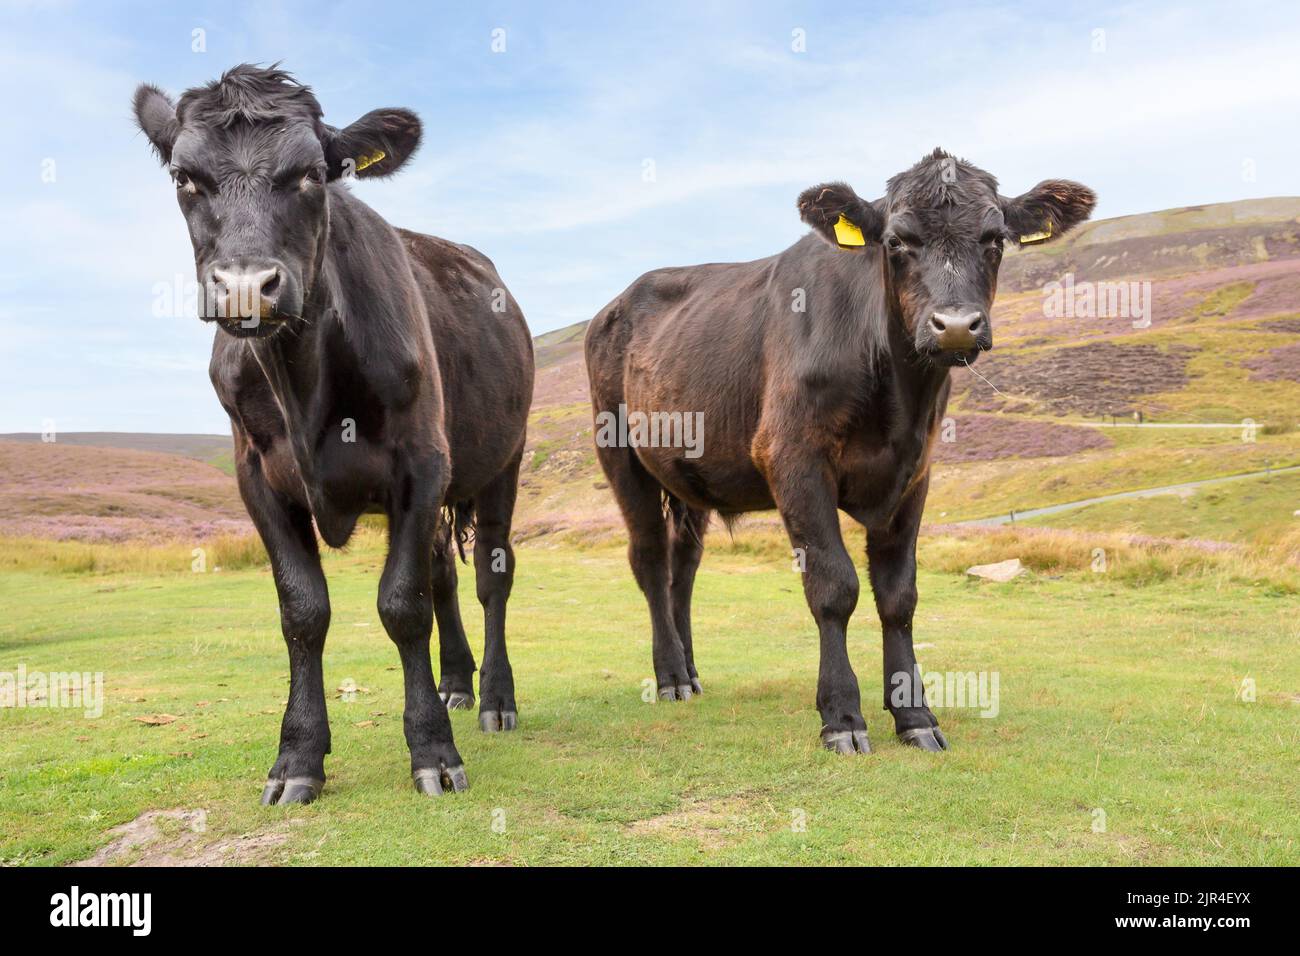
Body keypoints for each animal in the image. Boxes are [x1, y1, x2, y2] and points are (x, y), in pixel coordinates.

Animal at [133, 65, 534, 802]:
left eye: (312, 175)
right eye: (184, 177)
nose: (245, 288)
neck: (305, 381)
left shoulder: (422, 462)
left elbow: (403, 604)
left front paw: (433, 752)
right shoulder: (258, 476)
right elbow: (303, 611)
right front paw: (297, 757)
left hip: (502, 460)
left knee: (492, 576)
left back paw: (494, 697)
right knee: (445, 574)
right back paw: (455, 683)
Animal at [585, 149, 1093, 754]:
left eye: (995, 239)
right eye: (896, 240)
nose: (954, 327)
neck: (898, 397)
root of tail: (615, 303)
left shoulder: (914, 473)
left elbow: (899, 596)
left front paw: (915, 714)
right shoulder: (793, 458)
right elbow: (834, 586)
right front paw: (842, 716)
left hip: (687, 477)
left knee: (682, 569)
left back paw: (690, 672)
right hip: (621, 456)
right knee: (649, 560)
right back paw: (669, 678)